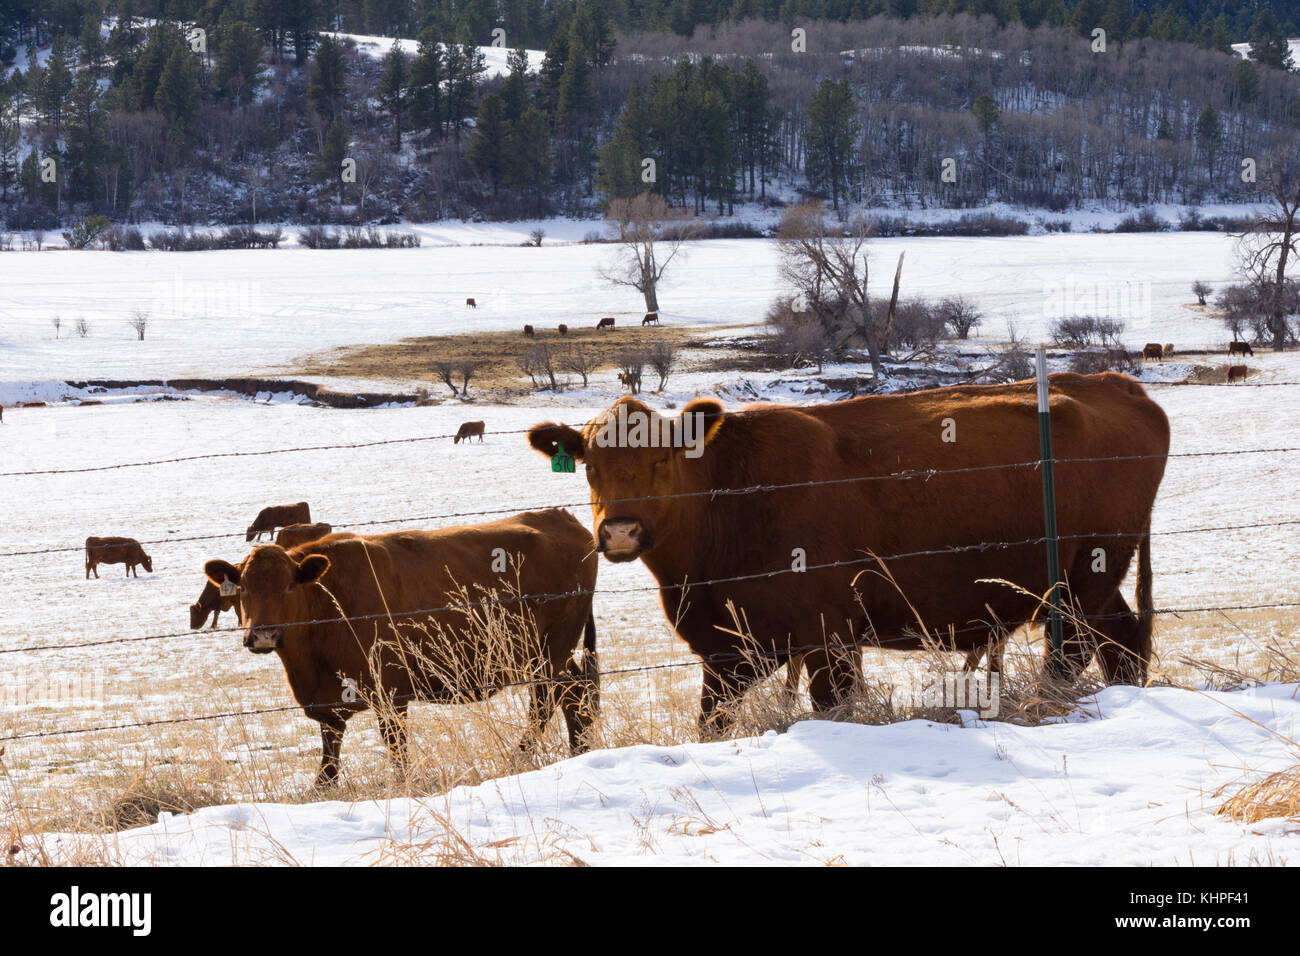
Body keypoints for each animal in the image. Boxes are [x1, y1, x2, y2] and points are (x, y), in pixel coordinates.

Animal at [202, 509, 599, 787]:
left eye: (288, 586)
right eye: (242, 588)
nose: (263, 635)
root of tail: (560, 517)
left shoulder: (391, 693)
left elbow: (396, 748)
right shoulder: (329, 706)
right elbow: (330, 757)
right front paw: (321, 788)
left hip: (550, 651)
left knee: (552, 699)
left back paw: (526, 755)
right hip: (550, 654)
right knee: (574, 694)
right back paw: (578, 749)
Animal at [527, 374, 1169, 734]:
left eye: (661, 459)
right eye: (589, 463)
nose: (619, 532)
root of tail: (1115, 383)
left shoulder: (828, 638)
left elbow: (831, 702)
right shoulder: (727, 652)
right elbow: (711, 722)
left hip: (1082, 584)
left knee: (1077, 654)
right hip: (1094, 586)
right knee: (1120, 645)